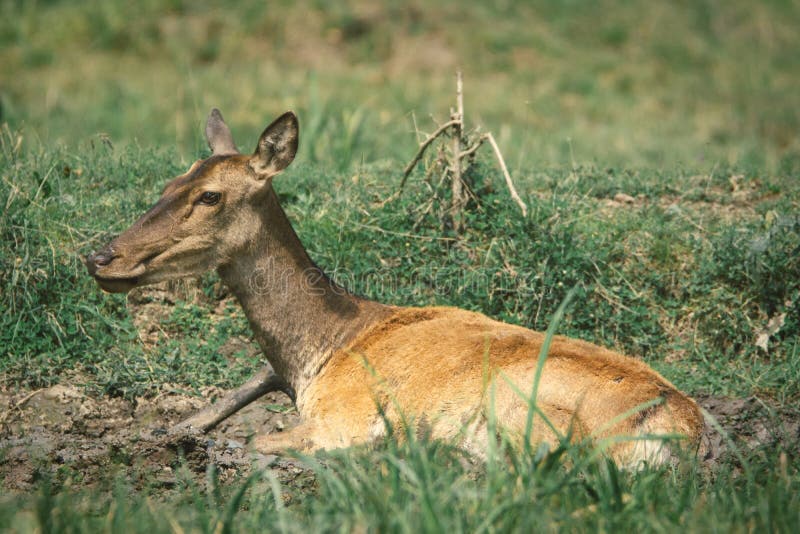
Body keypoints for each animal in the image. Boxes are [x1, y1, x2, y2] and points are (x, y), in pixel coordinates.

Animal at [85, 109, 704, 467]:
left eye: (211, 195)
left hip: (520, 404)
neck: (320, 349)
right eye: (169, 182)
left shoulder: (342, 420)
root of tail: (684, 436)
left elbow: (254, 440)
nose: (100, 257)